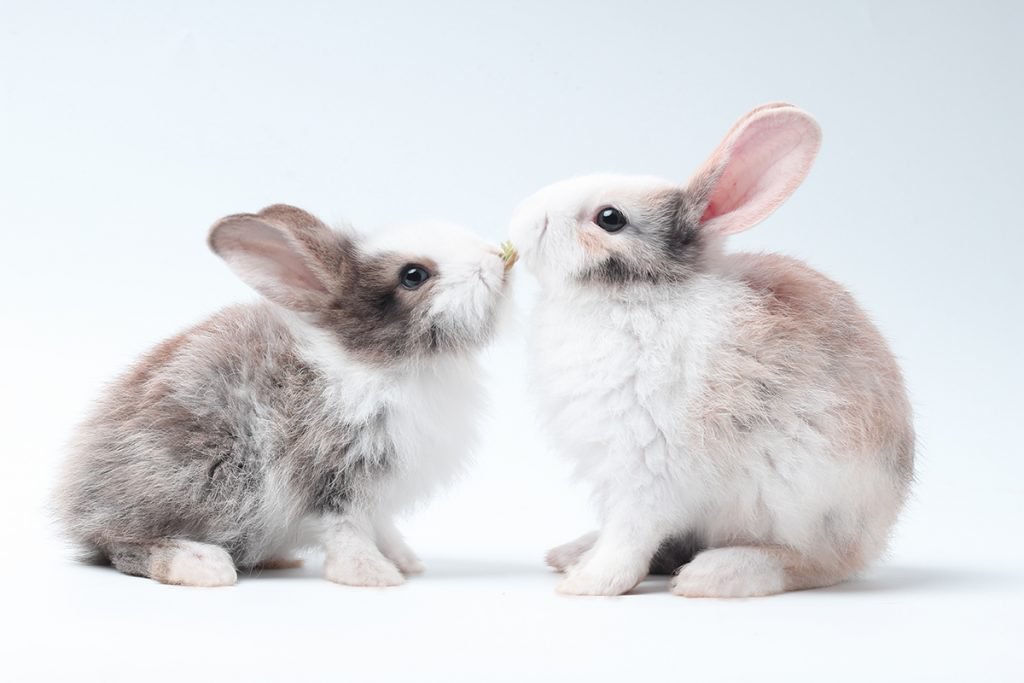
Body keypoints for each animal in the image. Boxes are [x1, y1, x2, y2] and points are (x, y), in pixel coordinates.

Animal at [54, 204, 513, 587]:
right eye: (414, 275)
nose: (497, 258)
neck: (384, 364)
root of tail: (77, 509)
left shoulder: (378, 495)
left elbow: (383, 529)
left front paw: (406, 563)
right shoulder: (333, 474)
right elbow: (345, 530)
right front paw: (372, 575)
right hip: (202, 484)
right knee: (121, 545)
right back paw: (202, 564)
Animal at [508, 103, 914, 597]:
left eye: (610, 218)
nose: (522, 219)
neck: (640, 297)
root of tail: (878, 529)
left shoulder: (645, 468)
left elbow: (628, 535)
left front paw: (589, 584)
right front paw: (583, 567)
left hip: (805, 503)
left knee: (817, 563)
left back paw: (716, 573)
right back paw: (571, 552)